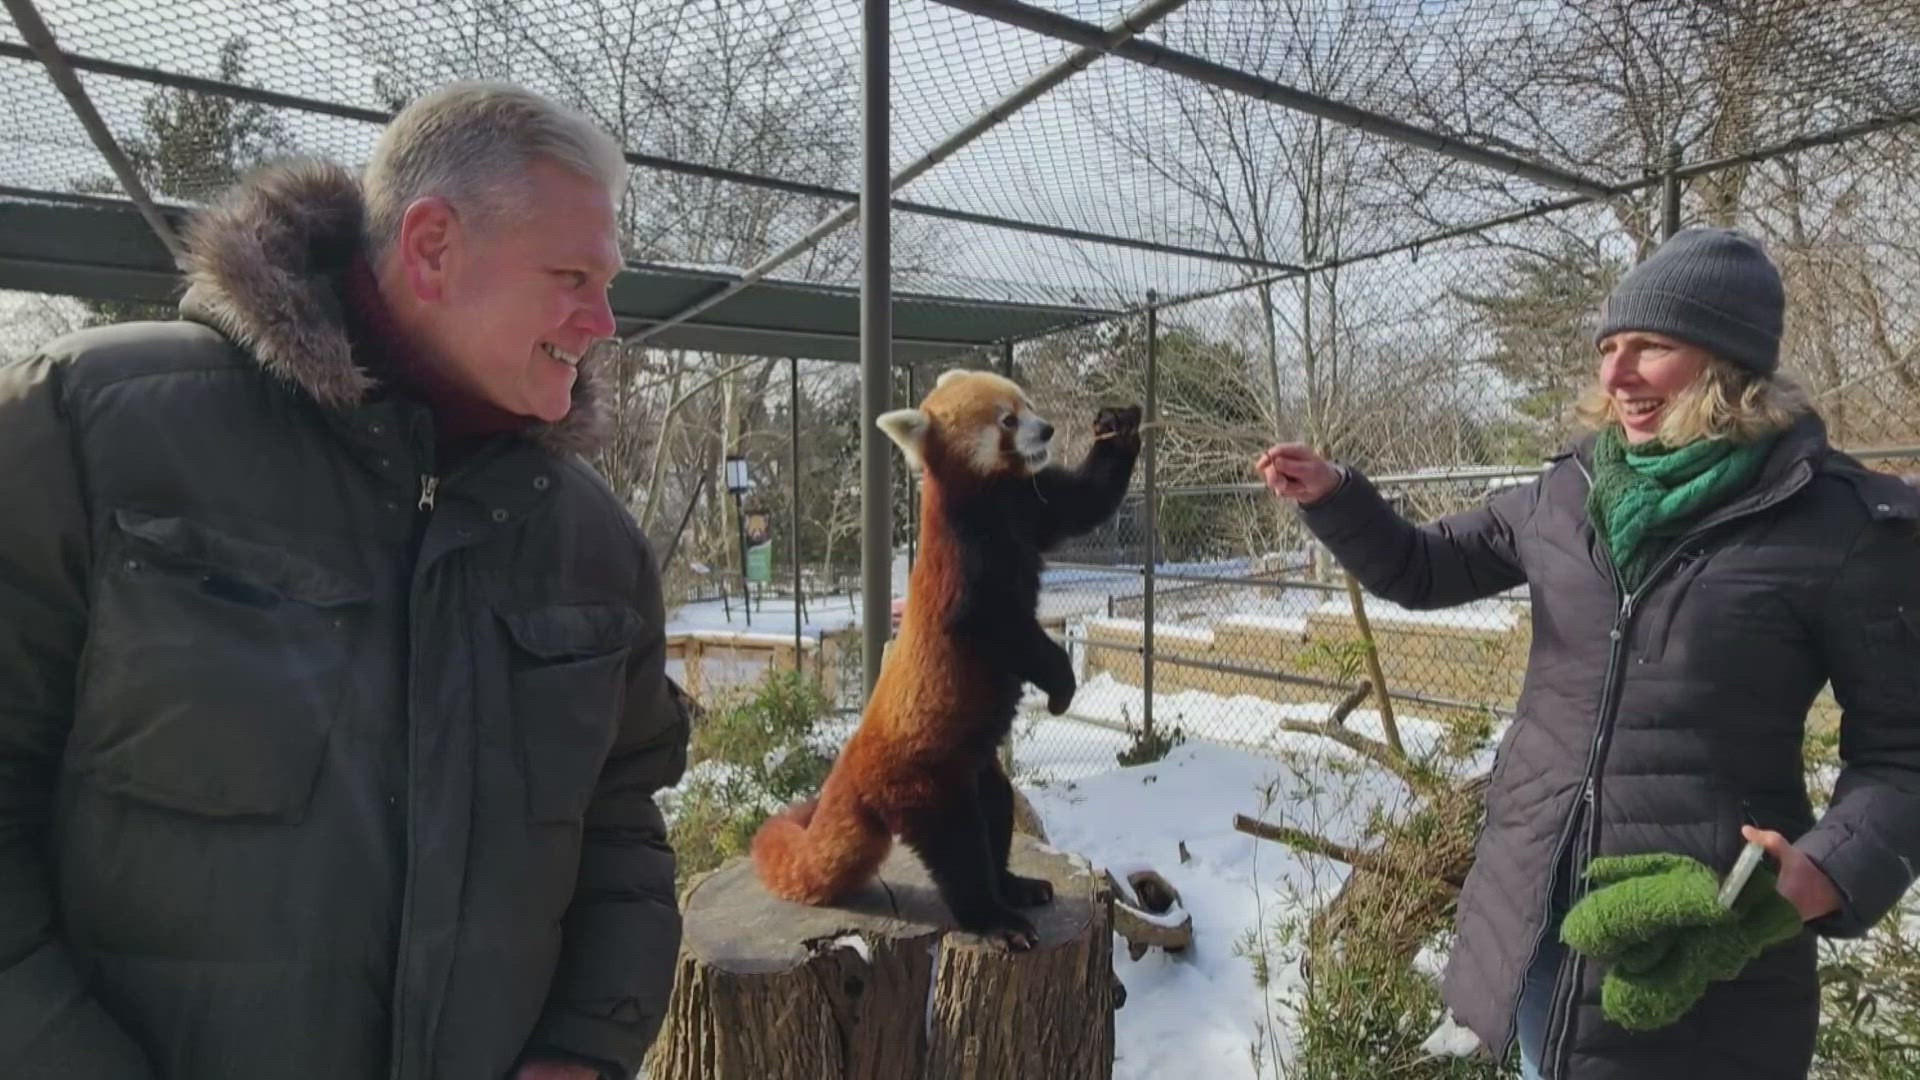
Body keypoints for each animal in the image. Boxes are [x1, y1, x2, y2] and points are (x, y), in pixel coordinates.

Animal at [751, 369, 1142, 950]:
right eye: (1008, 421)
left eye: (1027, 404)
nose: (1047, 430)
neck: (990, 501)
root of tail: (852, 763)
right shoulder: (968, 566)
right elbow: (997, 628)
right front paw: (1062, 686)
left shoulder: (1031, 509)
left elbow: (1085, 503)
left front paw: (1119, 426)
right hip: (924, 786)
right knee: (960, 850)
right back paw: (994, 917)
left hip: (975, 768)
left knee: (996, 812)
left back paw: (1015, 885)